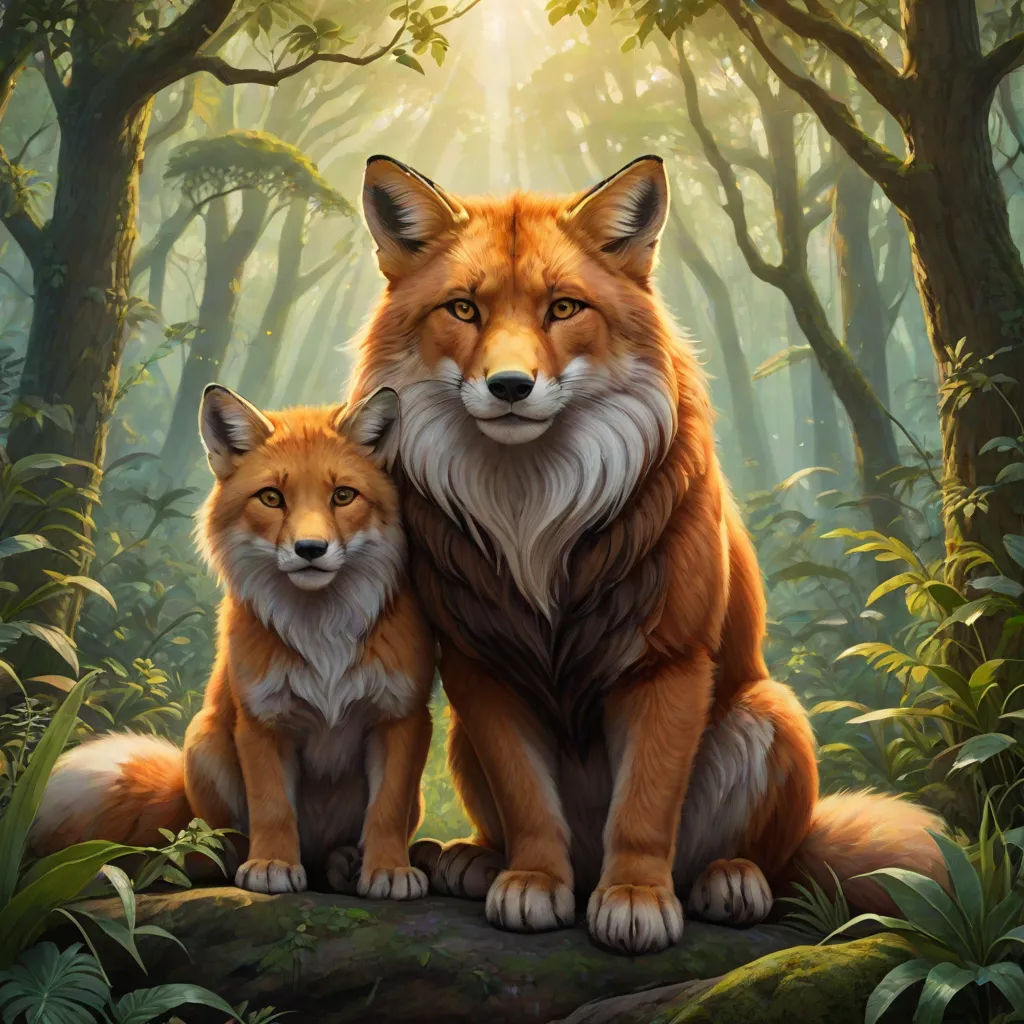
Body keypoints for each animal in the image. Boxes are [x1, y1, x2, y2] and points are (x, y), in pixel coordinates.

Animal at [31, 385, 435, 899]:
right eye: (272, 497)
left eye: (343, 495)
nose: (310, 549)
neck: (321, 634)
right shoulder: (261, 721)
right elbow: (273, 808)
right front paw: (271, 865)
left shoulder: (402, 717)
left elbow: (386, 811)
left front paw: (388, 870)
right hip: (203, 744)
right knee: (213, 846)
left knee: (331, 851)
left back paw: (344, 863)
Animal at [346, 154, 948, 953]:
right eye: (464, 310)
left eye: (564, 308)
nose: (509, 386)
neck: (531, 512)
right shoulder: (483, 668)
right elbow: (530, 804)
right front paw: (533, 882)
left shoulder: (669, 662)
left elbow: (643, 808)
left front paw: (634, 899)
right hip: (463, 744)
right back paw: (475, 861)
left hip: (773, 713)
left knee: (761, 860)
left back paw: (730, 882)